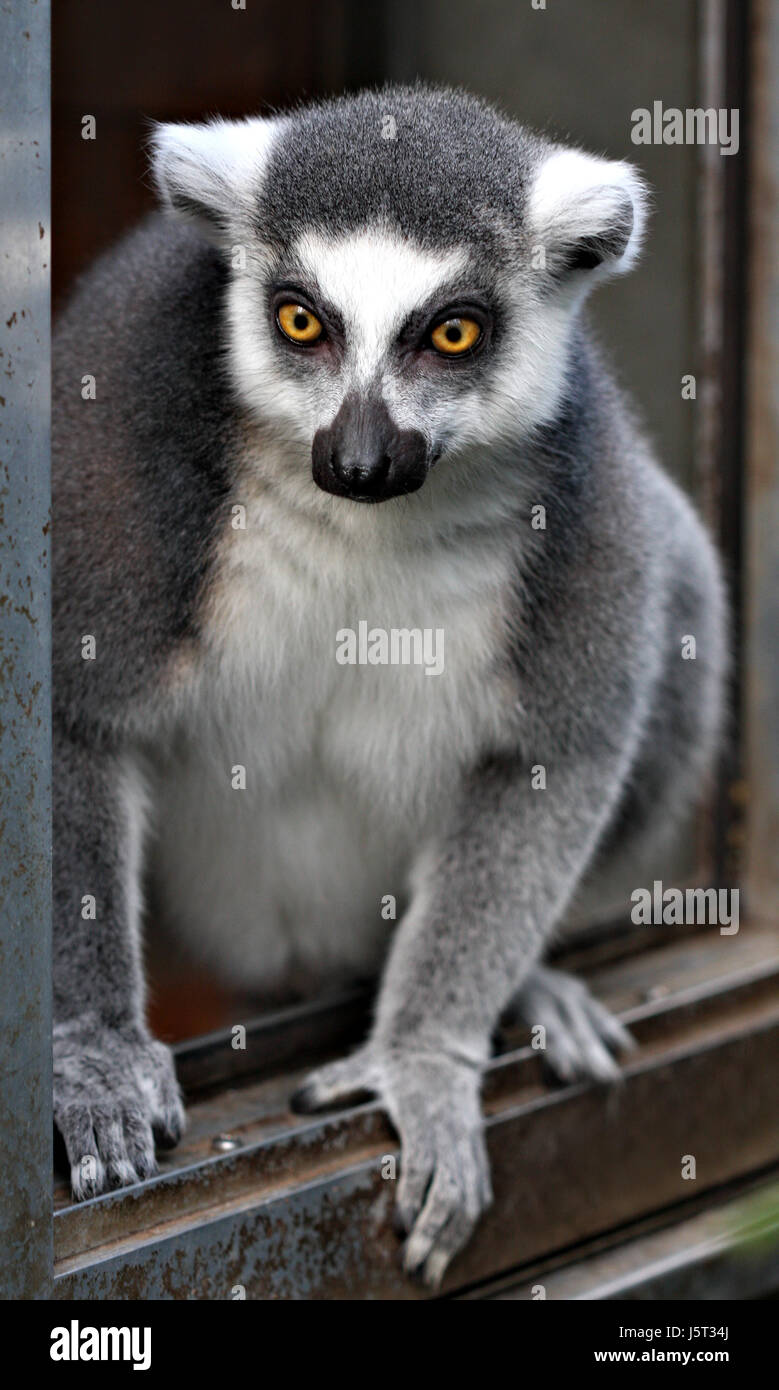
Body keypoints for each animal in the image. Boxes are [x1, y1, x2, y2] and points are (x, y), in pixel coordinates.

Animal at [52, 84, 726, 1287]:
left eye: (451, 330)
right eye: (299, 321)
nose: (357, 460)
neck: (365, 521)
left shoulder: (580, 483)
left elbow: (552, 758)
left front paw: (420, 1058)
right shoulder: (122, 422)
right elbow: (71, 718)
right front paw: (93, 1055)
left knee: (681, 575)